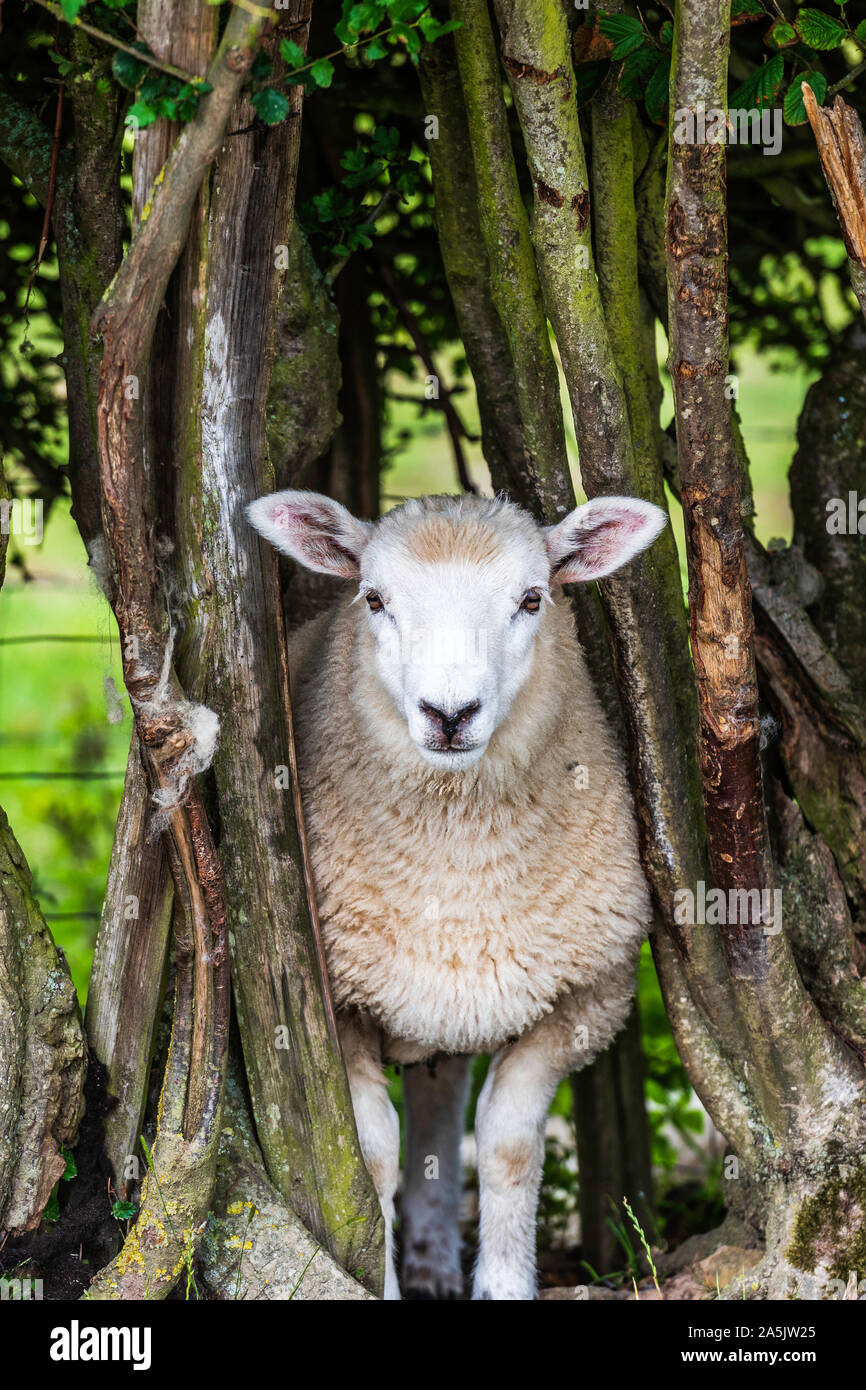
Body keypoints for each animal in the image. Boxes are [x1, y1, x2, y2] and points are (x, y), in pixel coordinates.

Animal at [246, 488, 666, 1300]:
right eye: (374, 599)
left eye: (532, 599)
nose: (450, 714)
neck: (457, 865)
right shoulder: (336, 1004)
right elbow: (372, 1154)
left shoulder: (581, 997)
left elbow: (506, 1146)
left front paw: (502, 1282)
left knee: (441, 1107)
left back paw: (435, 1261)